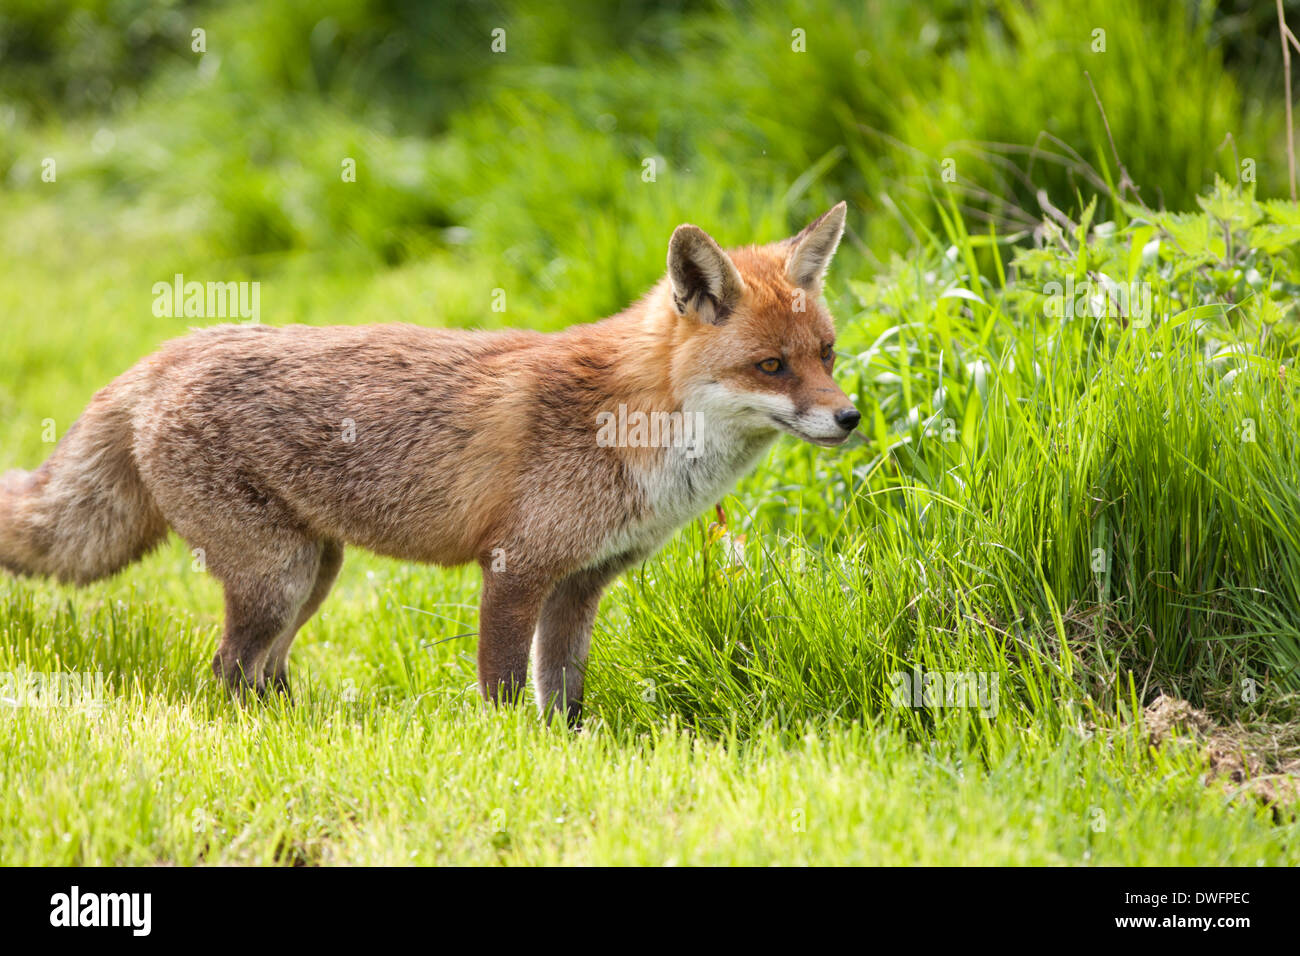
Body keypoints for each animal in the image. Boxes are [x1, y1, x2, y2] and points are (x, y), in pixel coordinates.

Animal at [0, 203, 859, 723]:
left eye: (826, 354)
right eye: (771, 367)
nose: (849, 416)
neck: (633, 425)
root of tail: (169, 351)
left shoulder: (579, 585)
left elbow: (565, 696)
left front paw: (570, 753)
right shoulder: (515, 569)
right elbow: (506, 691)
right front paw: (513, 754)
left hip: (315, 571)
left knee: (265, 672)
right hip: (278, 576)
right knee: (229, 673)